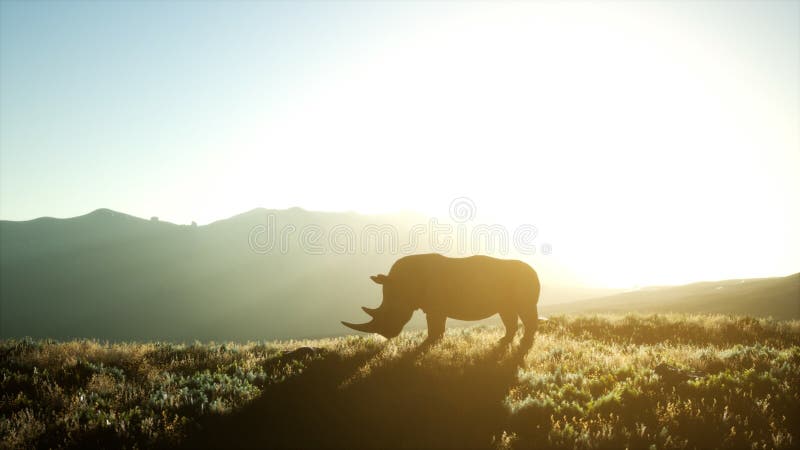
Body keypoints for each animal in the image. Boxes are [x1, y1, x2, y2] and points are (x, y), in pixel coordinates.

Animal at [342, 253, 540, 345]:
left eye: (390, 313)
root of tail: (534, 271)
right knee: (507, 312)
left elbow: (434, 325)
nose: (387, 335)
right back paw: (503, 341)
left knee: (525, 310)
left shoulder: (435, 307)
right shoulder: (434, 307)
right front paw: (435, 342)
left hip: (524, 280)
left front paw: (429, 343)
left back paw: (524, 343)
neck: (401, 285)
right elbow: (437, 325)